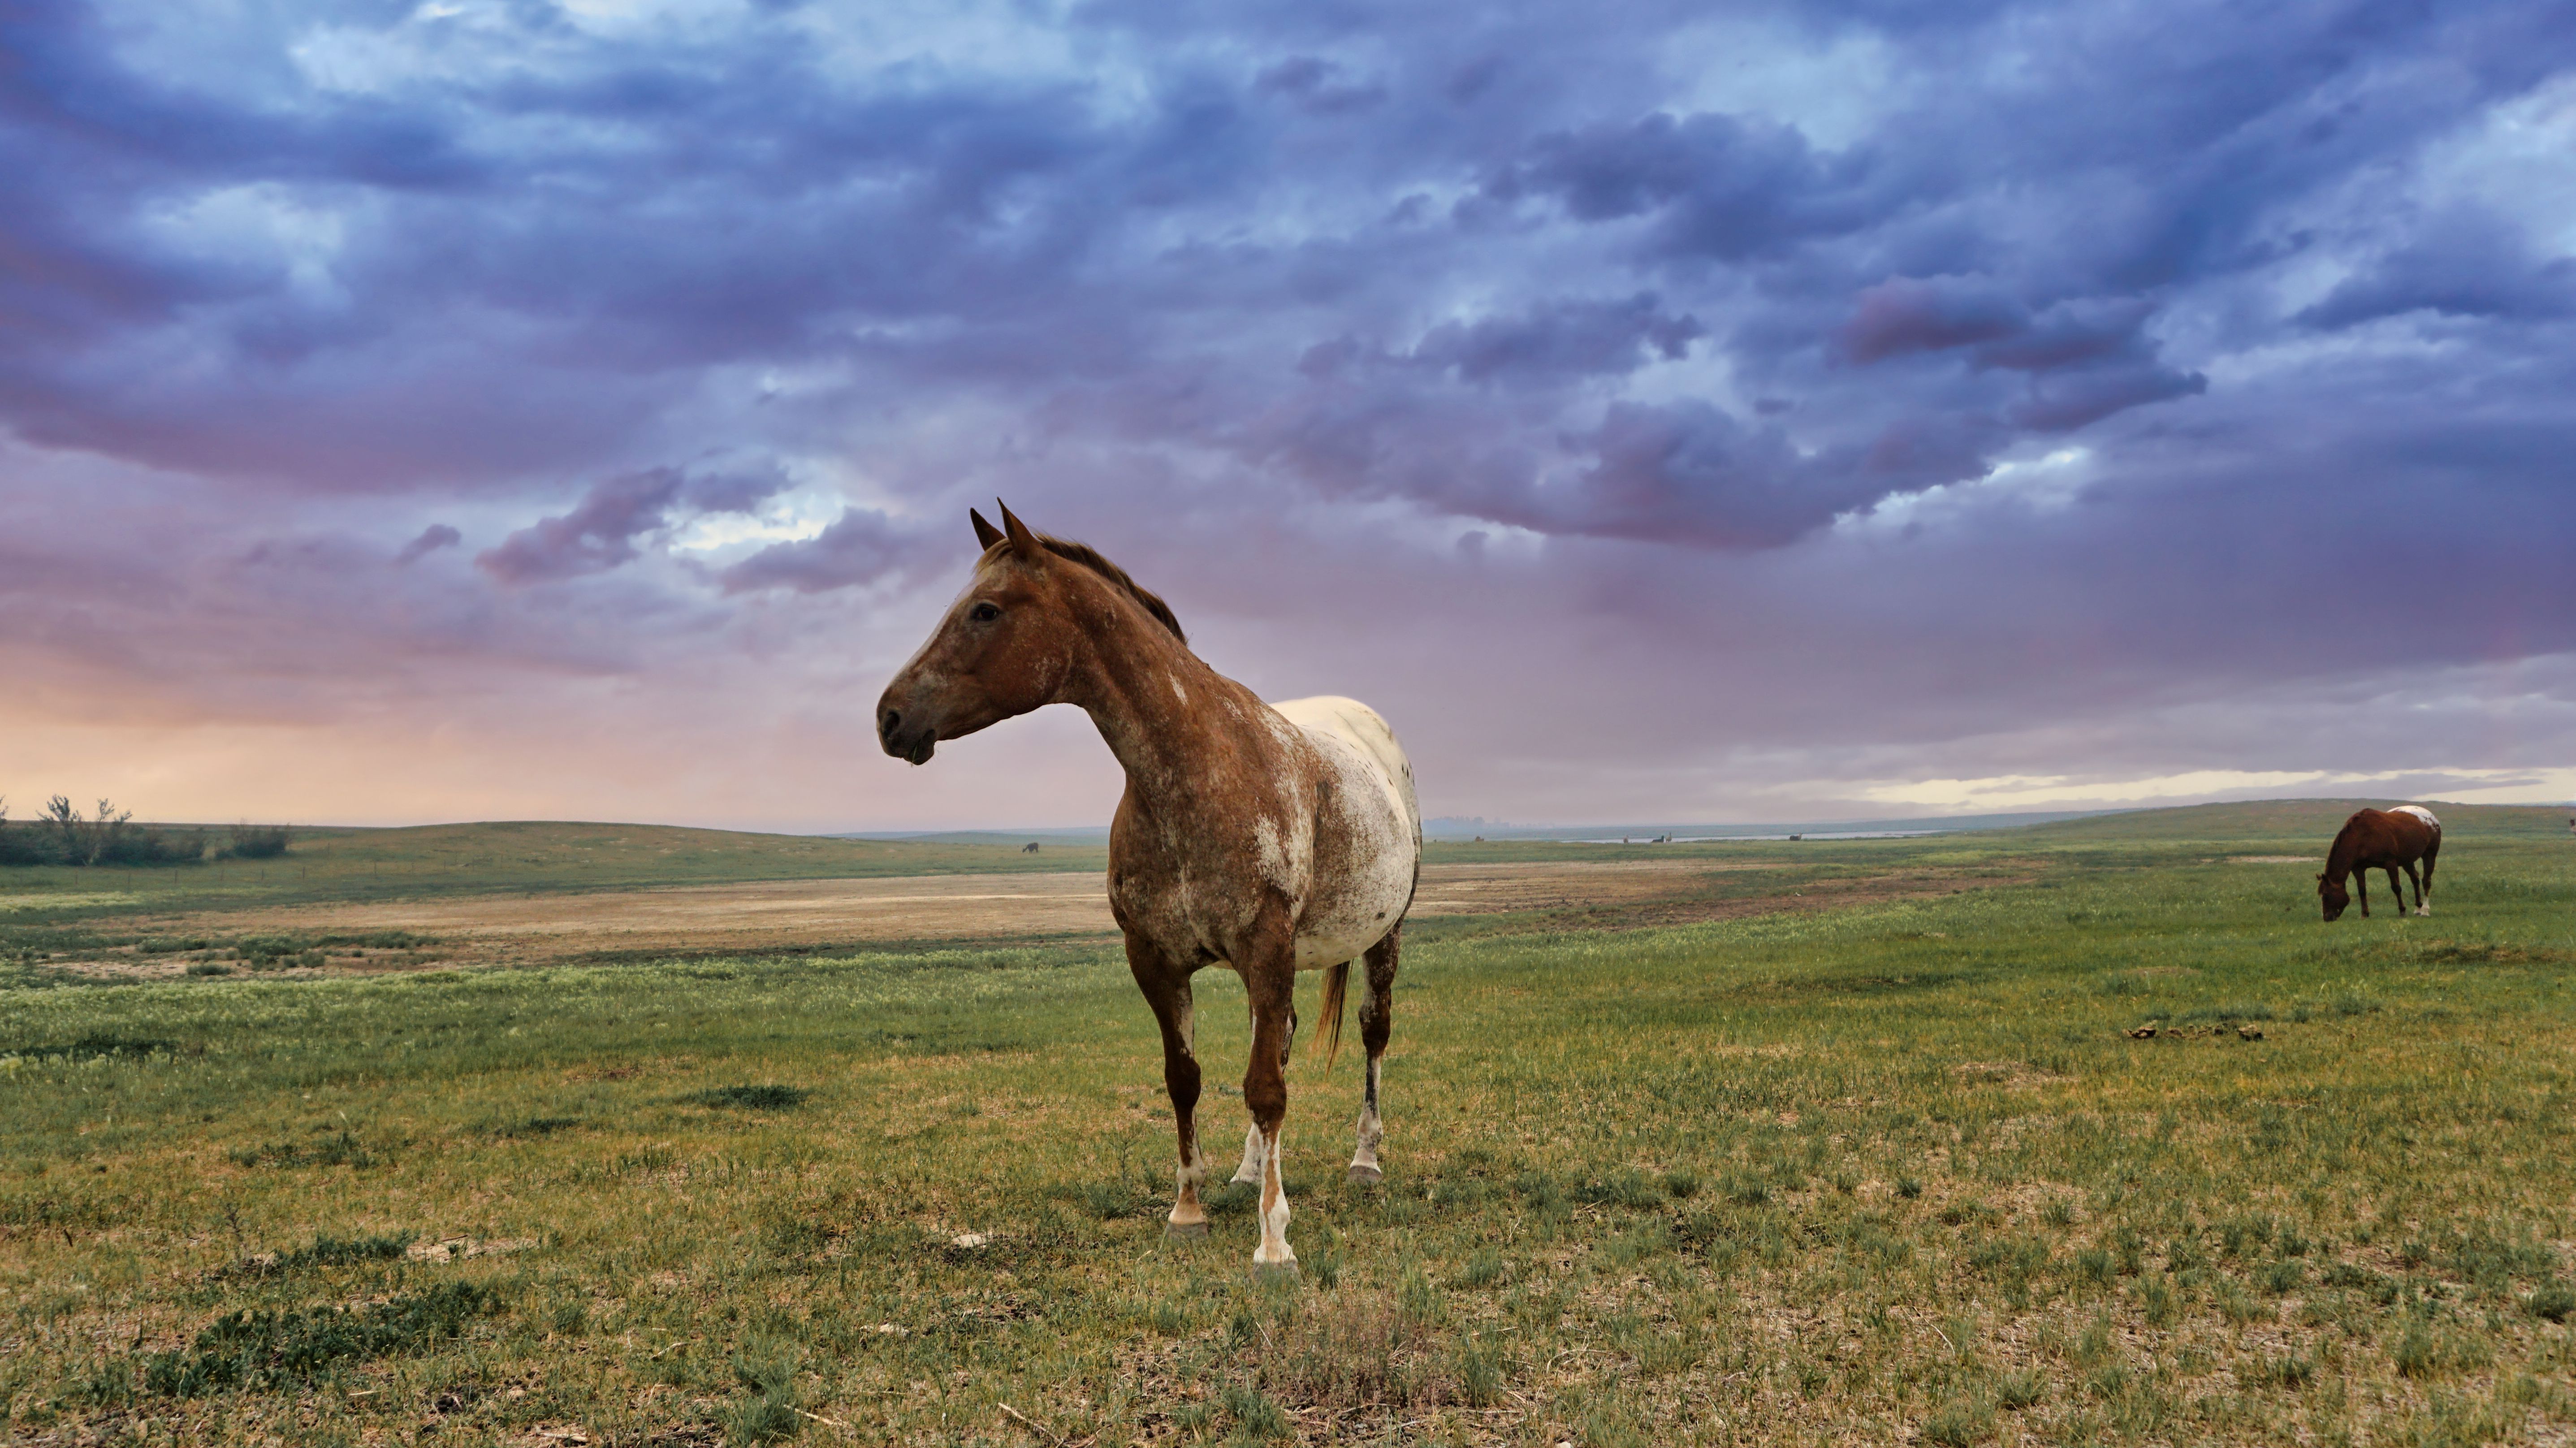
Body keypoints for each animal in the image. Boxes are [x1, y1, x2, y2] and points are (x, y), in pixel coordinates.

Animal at [875, 503, 1421, 1271]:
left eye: (986, 610)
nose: (889, 717)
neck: (1194, 772)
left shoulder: (1268, 948)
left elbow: (1266, 1088)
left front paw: (1274, 1239)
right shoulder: (1157, 960)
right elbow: (1186, 1078)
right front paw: (1189, 1208)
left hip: (1384, 935)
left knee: (1373, 1031)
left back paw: (1365, 1160)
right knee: (1278, 1036)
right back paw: (1250, 1168)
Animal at [2318, 805, 2441, 921]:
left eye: (2326, 895)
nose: (2326, 918)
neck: (2362, 836)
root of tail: (2432, 818)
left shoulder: (2390, 862)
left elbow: (2396, 888)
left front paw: (2402, 911)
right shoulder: (2358, 868)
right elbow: (2362, 891)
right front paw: (2364, 914)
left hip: (2429, 855)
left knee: (2426, 881)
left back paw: (2425, 910)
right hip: (2407, 861)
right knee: (2415, 879)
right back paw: (2418, 908)